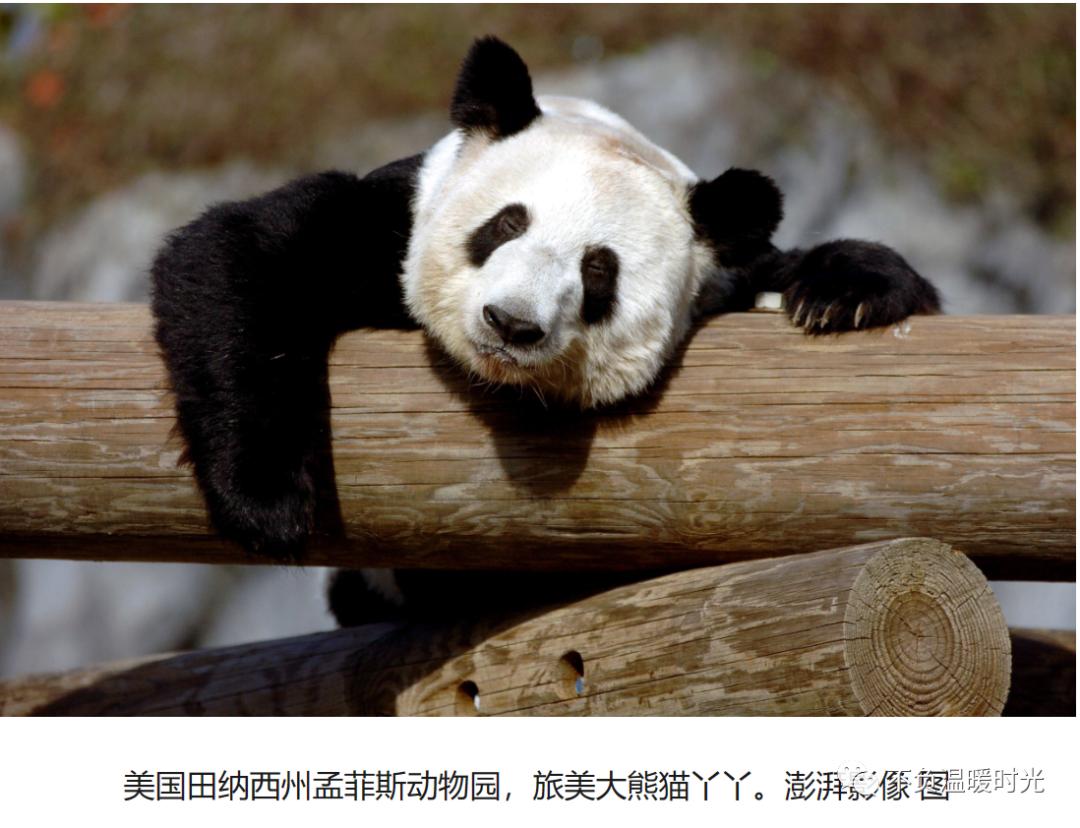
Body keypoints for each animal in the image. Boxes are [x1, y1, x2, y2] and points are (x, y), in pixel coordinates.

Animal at [151, 37, 939, 618]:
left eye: (599, 271)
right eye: (505, 224)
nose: (511, 323)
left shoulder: (720, 276)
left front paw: (847, 291)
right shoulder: (389, 221)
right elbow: (241, 252)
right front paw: (267, 503)